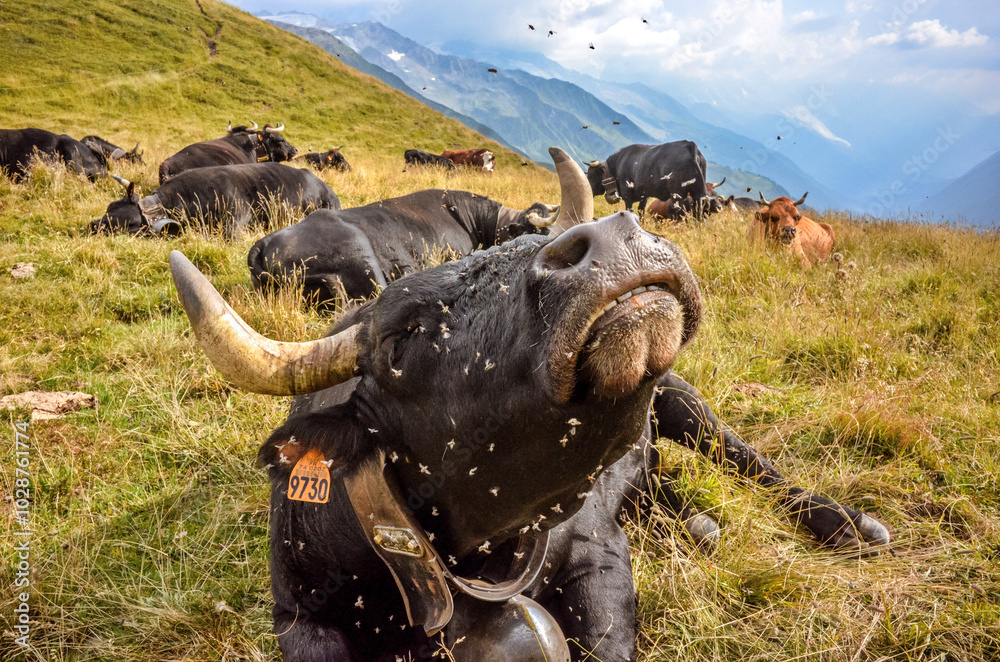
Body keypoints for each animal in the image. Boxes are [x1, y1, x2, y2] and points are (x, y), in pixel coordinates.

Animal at [169, 173, 889, 661]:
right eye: (401, 339)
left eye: (531, 240)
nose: (615, 238)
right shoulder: (297, 617)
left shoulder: (598, 555)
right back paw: (698, 522)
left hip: (681, 398)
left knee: (745, 457)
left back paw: (847, 524)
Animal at [585, 141, 721, 216]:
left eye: (591, 175)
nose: (588, 190)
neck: (618, 165)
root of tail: (690, 145)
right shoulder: (644, 196)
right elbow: (641, 212)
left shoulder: (627, 195)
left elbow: (630, 210)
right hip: (699, 193)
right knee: (700, 212)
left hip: (678, 194)